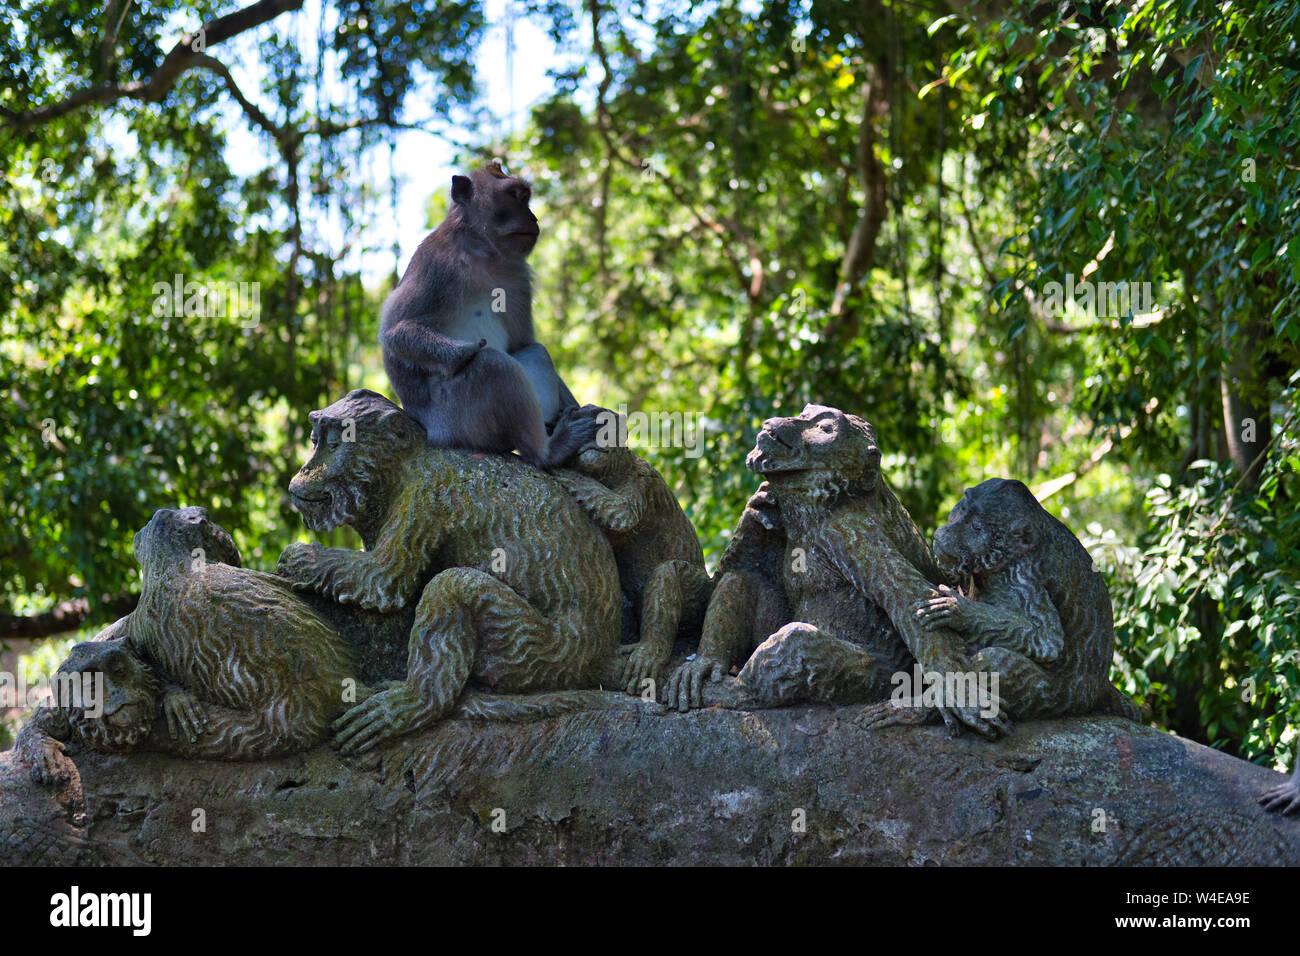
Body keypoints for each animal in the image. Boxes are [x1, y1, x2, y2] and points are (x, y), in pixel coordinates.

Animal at [378, 161, 595, 467]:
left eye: (525, 196)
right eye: (514, 195)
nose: (533, 217)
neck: (482, 252)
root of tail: (430, 431)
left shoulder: (518, 277)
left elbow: (521, 344)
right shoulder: (436, 265)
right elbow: (394, 332)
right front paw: (464, 351)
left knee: (533, 351)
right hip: (456, 421)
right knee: (493, 364)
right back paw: (548, 452)